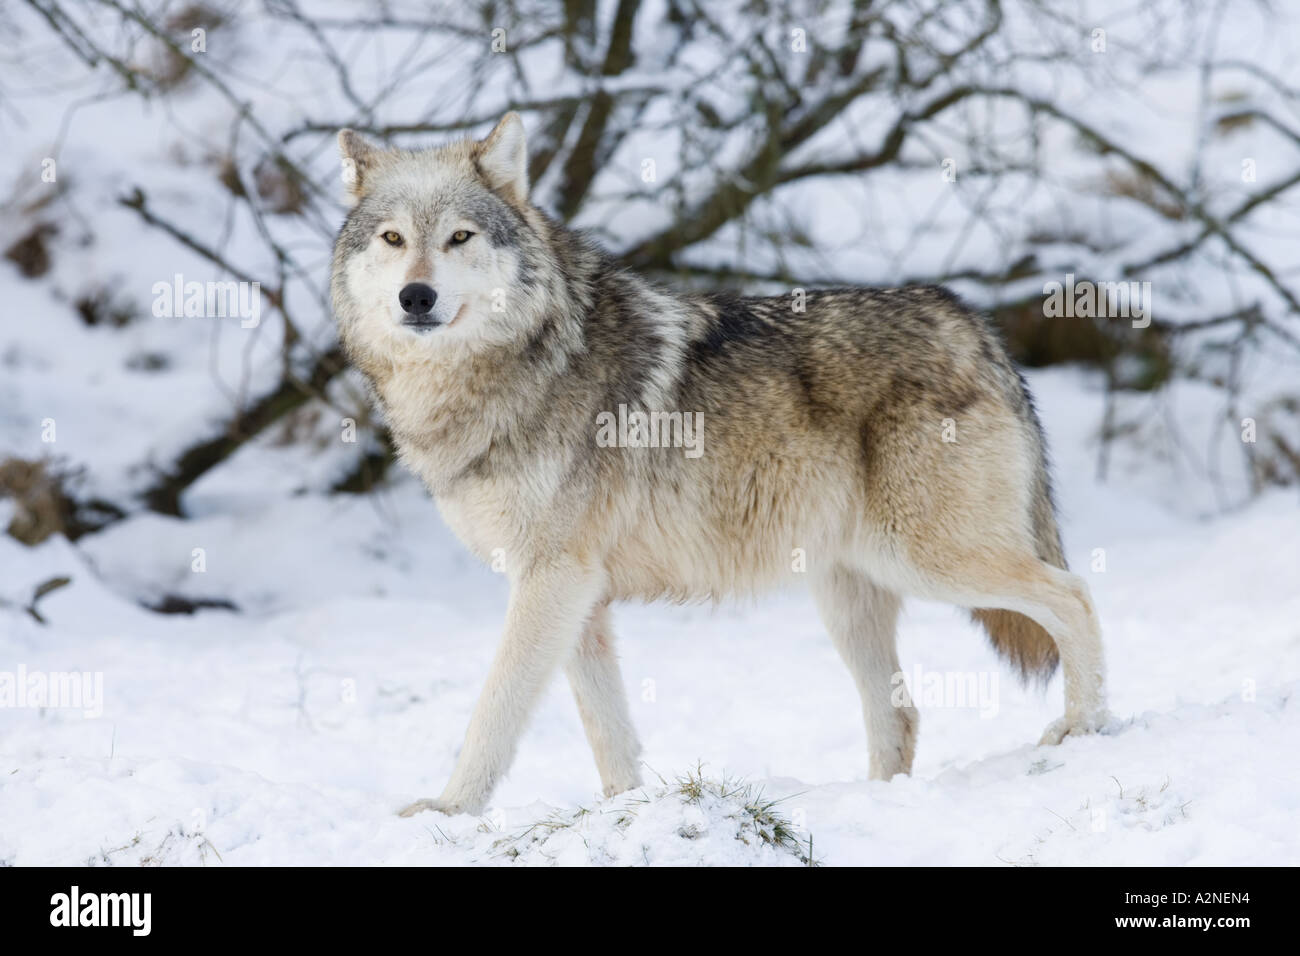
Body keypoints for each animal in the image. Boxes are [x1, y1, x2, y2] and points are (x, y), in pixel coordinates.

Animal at [330, 113, 1113, 817]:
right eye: (393, 238)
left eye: (459, 237)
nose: (416, 297)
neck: (512, 367)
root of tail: (973, 323)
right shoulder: (576, 594)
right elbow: (608, 733)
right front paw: (624, 812)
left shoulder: (553, 580)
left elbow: (496, 710)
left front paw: (449, 808)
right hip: (850, 593)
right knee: (901, 713)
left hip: (927, 560)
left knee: (1075, 595)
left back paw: (1083, 728)